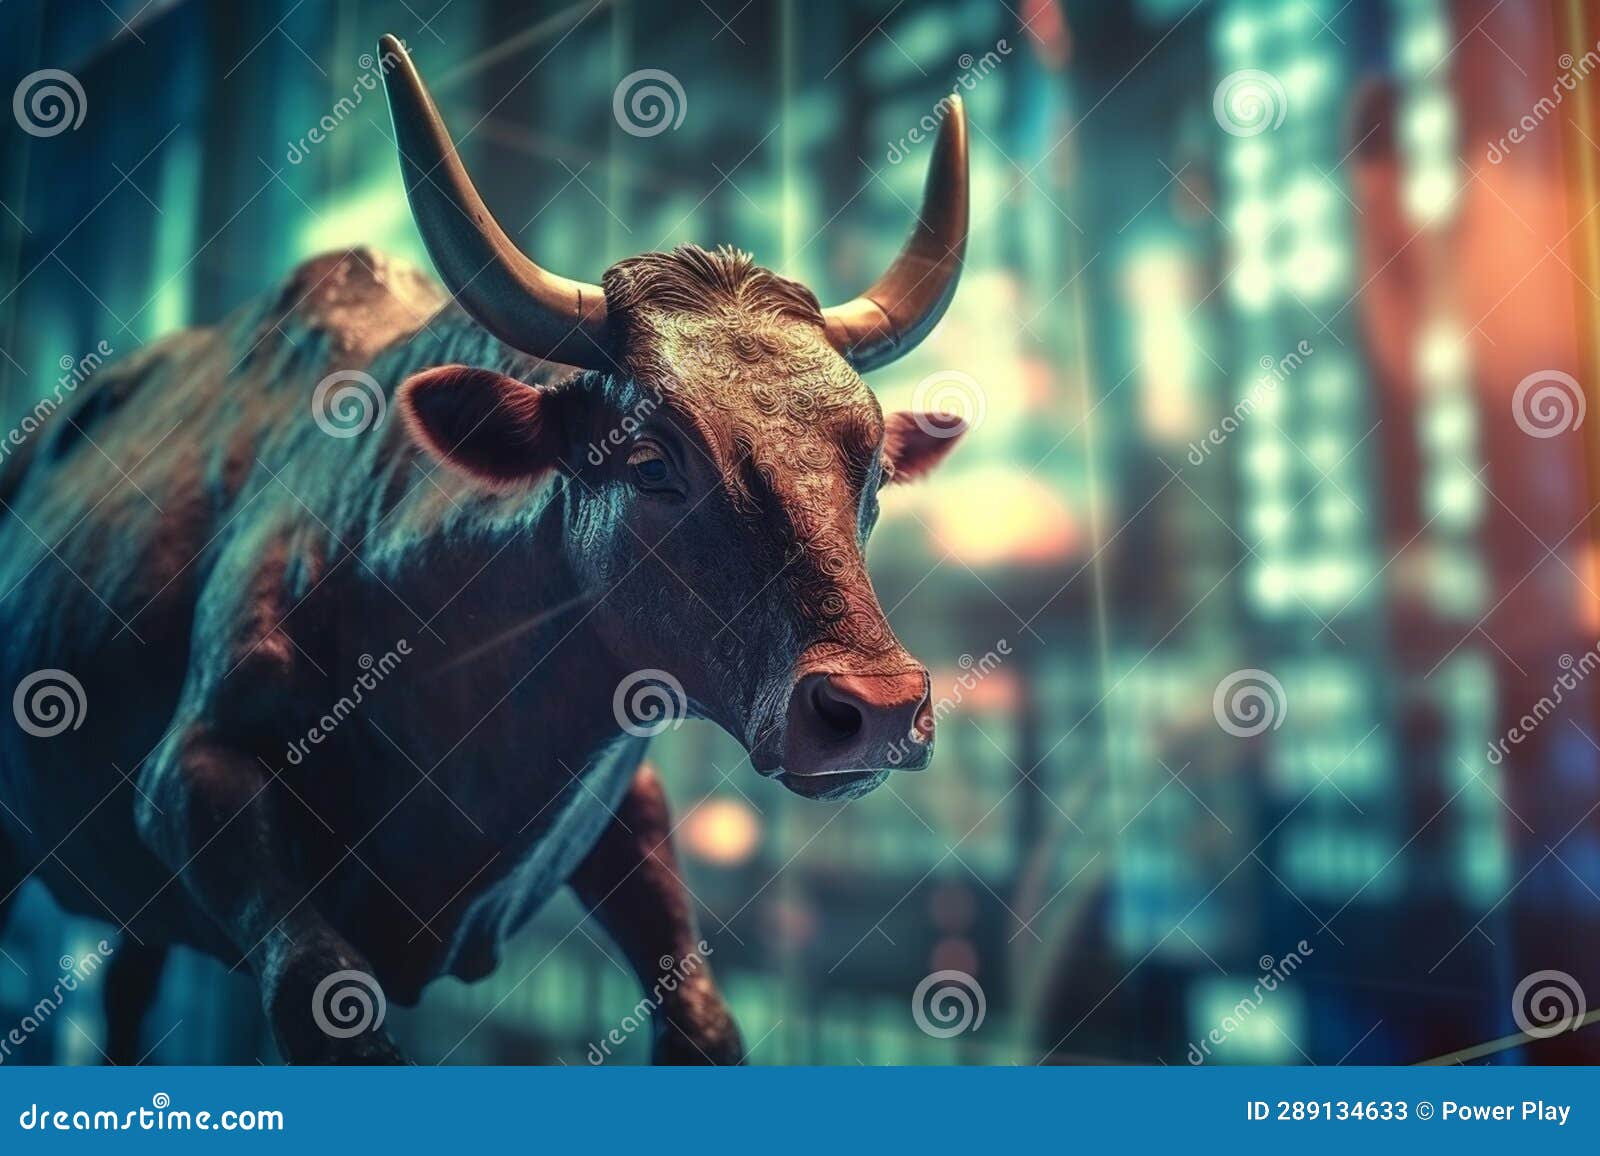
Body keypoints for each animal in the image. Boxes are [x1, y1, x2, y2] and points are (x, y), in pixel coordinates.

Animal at [0, 35, 970, 1064]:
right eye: (650, 458)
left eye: (872, 465)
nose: (874, 709)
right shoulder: (188, 779)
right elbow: (324, 1003)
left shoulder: (624, 810)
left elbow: (701, 1018)